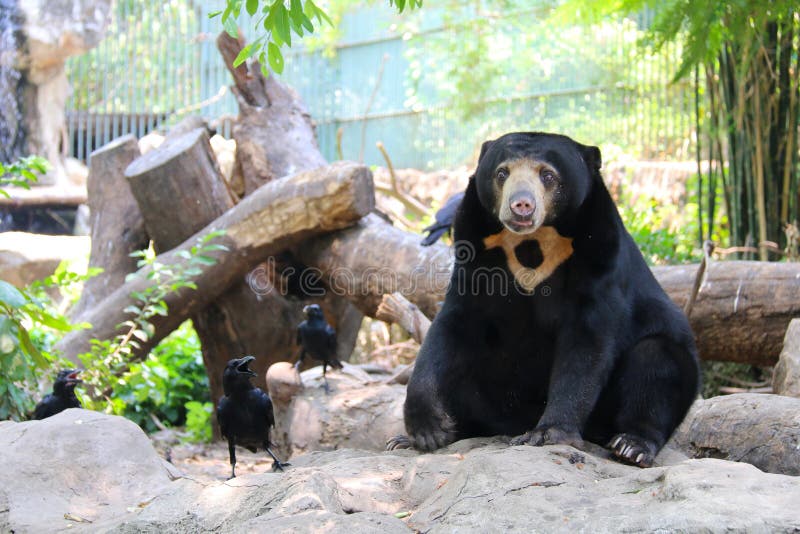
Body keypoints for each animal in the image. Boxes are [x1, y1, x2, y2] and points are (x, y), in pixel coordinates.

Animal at [391, 132, 700, 467]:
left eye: (548, 175)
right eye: (503, 172)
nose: (521, 205)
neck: (533, 240)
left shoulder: (600, 253)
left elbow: (586, 342)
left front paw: (548, 433)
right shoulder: (473, 248)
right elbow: (451, 325)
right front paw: (426, 430)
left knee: (657, 362)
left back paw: (631, 445)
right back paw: (436, 433)